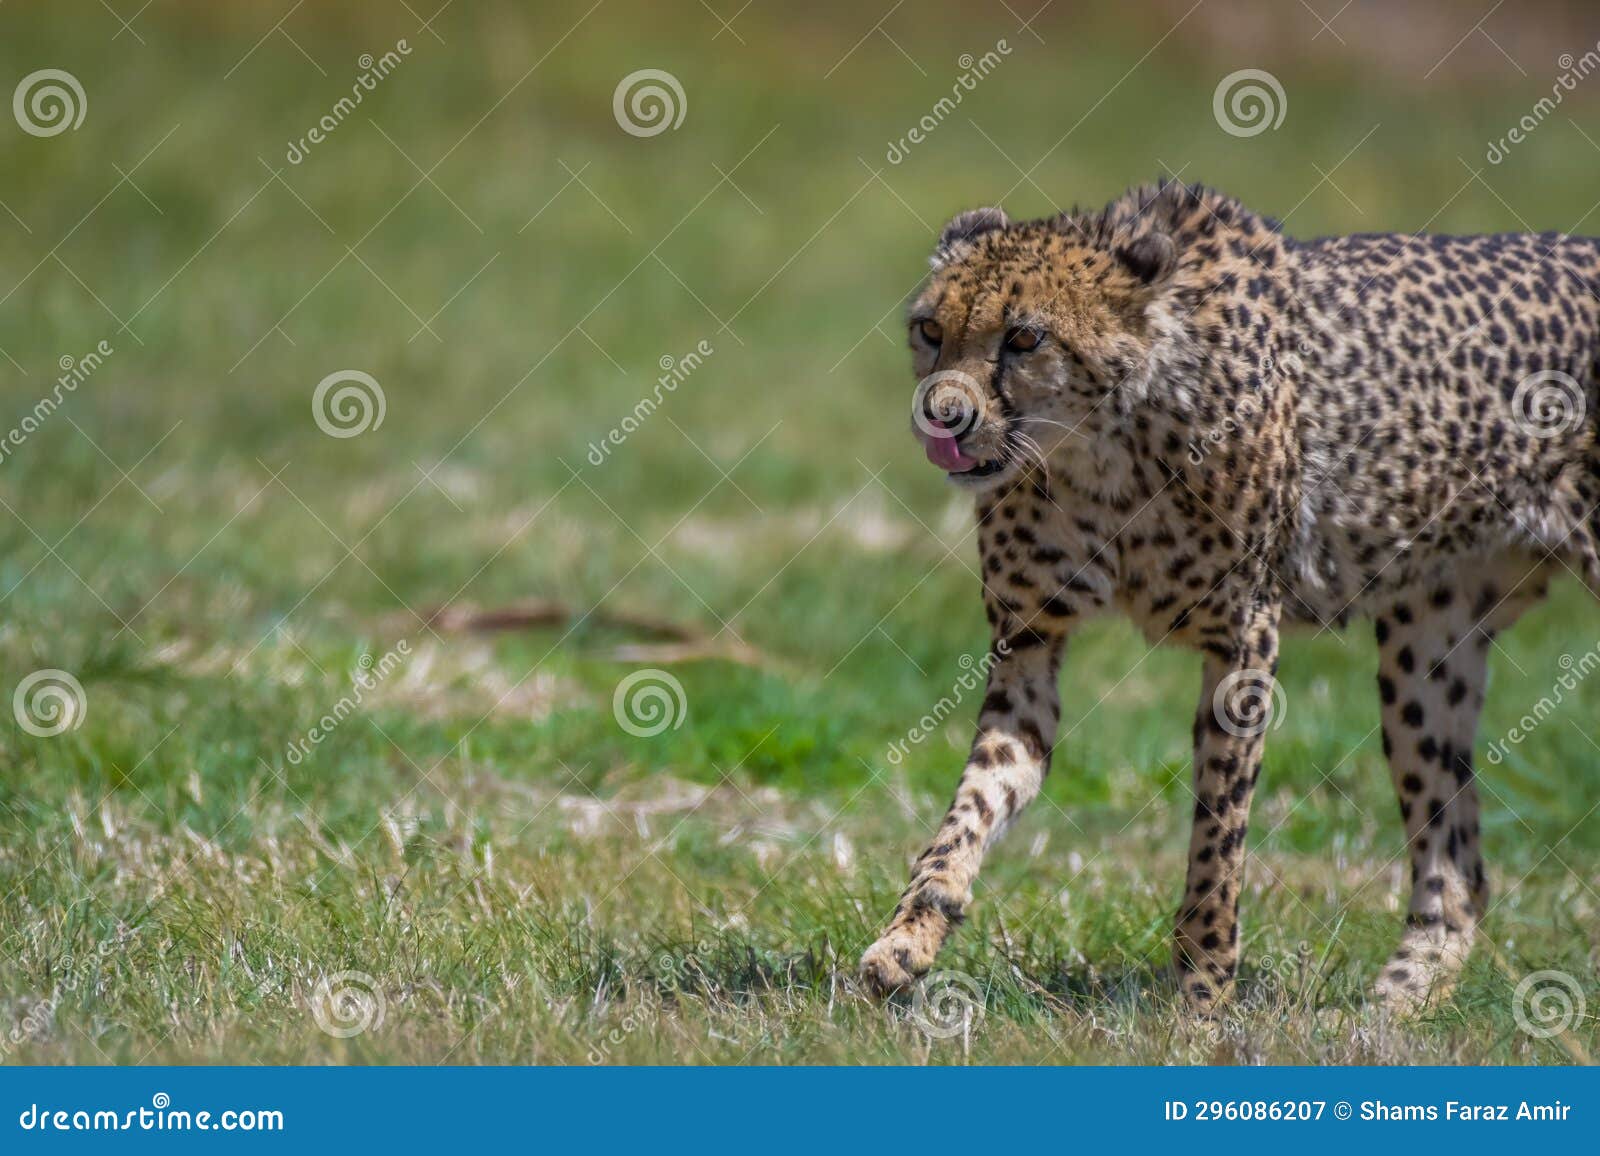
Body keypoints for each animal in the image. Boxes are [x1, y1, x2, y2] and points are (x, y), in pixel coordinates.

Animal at [858, 178, 1600, 1013]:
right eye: (930, 330)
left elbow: (1220, 831)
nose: (943, 416)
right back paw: (1390, 1007)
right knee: (1460, 871)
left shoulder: (1244, 637)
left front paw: (1203, 993)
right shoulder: (1029, 642)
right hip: (1426, 647)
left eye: (1024, 338)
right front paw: (908, 938)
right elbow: (976, 801)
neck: (1099, 451)